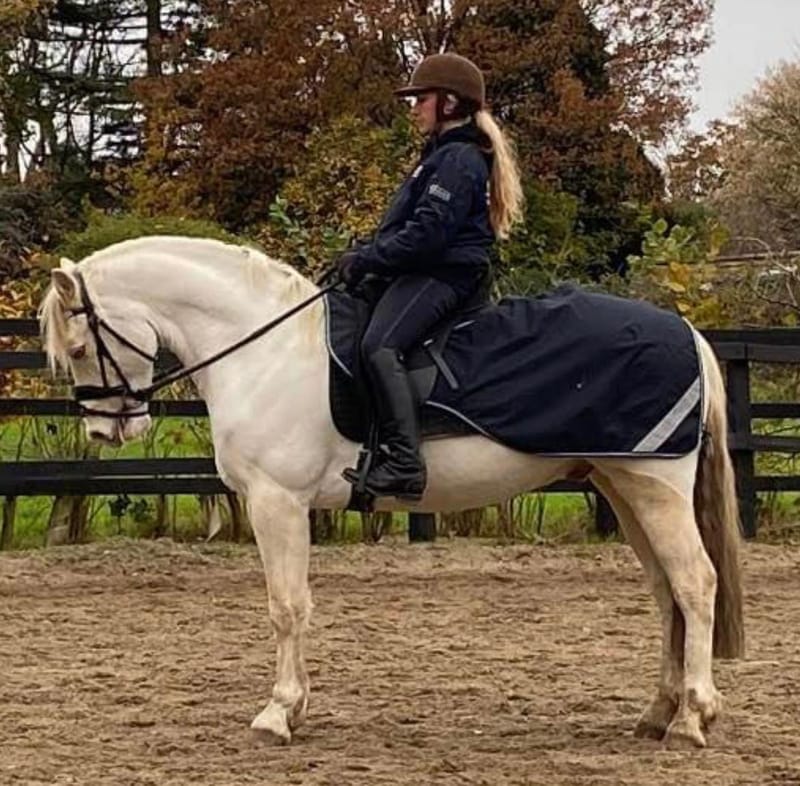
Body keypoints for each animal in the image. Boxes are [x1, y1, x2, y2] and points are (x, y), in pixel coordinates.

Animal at [39, 235, 744, 748]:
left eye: (77, 347)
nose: (106, 430)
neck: (266, 351)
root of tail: (687, 332)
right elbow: (293, 606)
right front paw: (294, 708)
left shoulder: (277, 502)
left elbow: (287, 606)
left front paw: (278, 712)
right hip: (621, 487)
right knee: (665, 593)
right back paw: (657, 712)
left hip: (654, 488)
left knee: (694, 583)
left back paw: (692, 718)